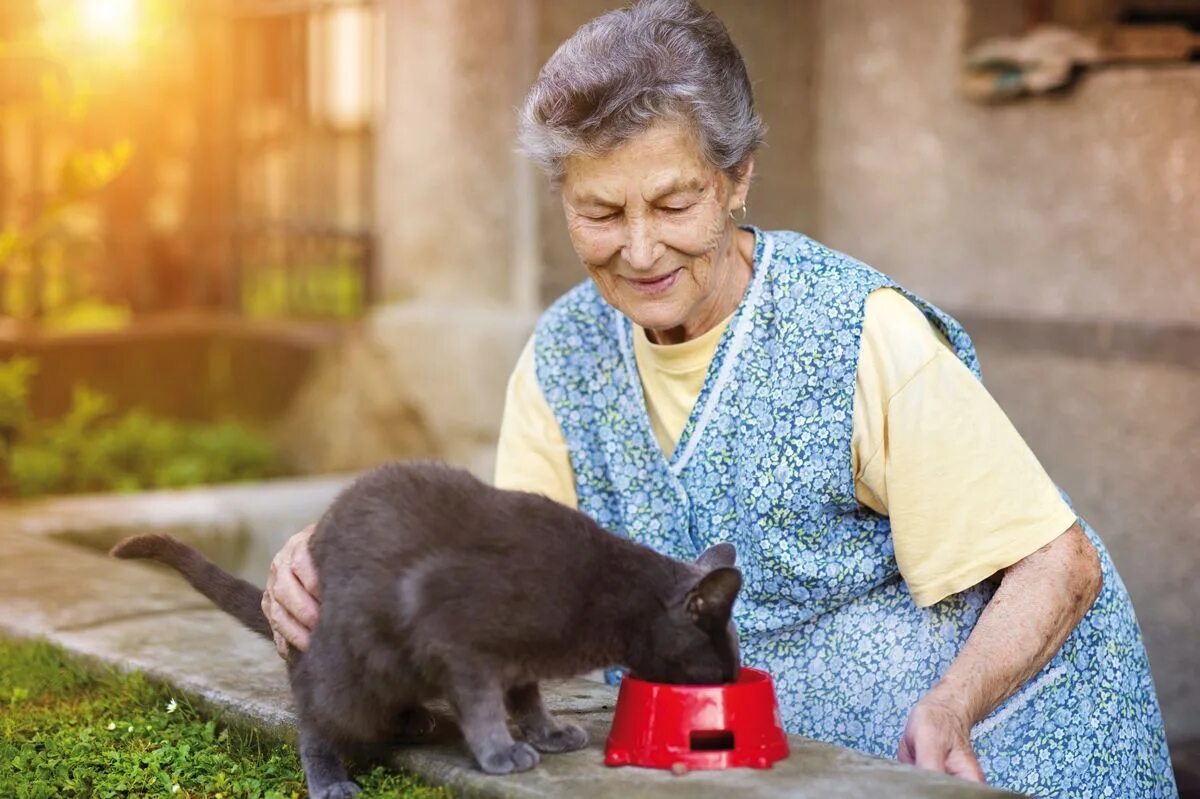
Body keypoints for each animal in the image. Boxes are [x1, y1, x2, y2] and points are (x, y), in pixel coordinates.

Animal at [117, 458, 744, 791]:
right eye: (721, 661)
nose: (731, 681)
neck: (603, 590)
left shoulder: (516, 661)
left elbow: (527, 696)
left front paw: (547, 733)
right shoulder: (457, 639)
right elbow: (485, 704)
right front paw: (501, 754)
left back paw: (412, 716)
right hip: (343, 669)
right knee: (314, 720)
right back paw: (331, 780)